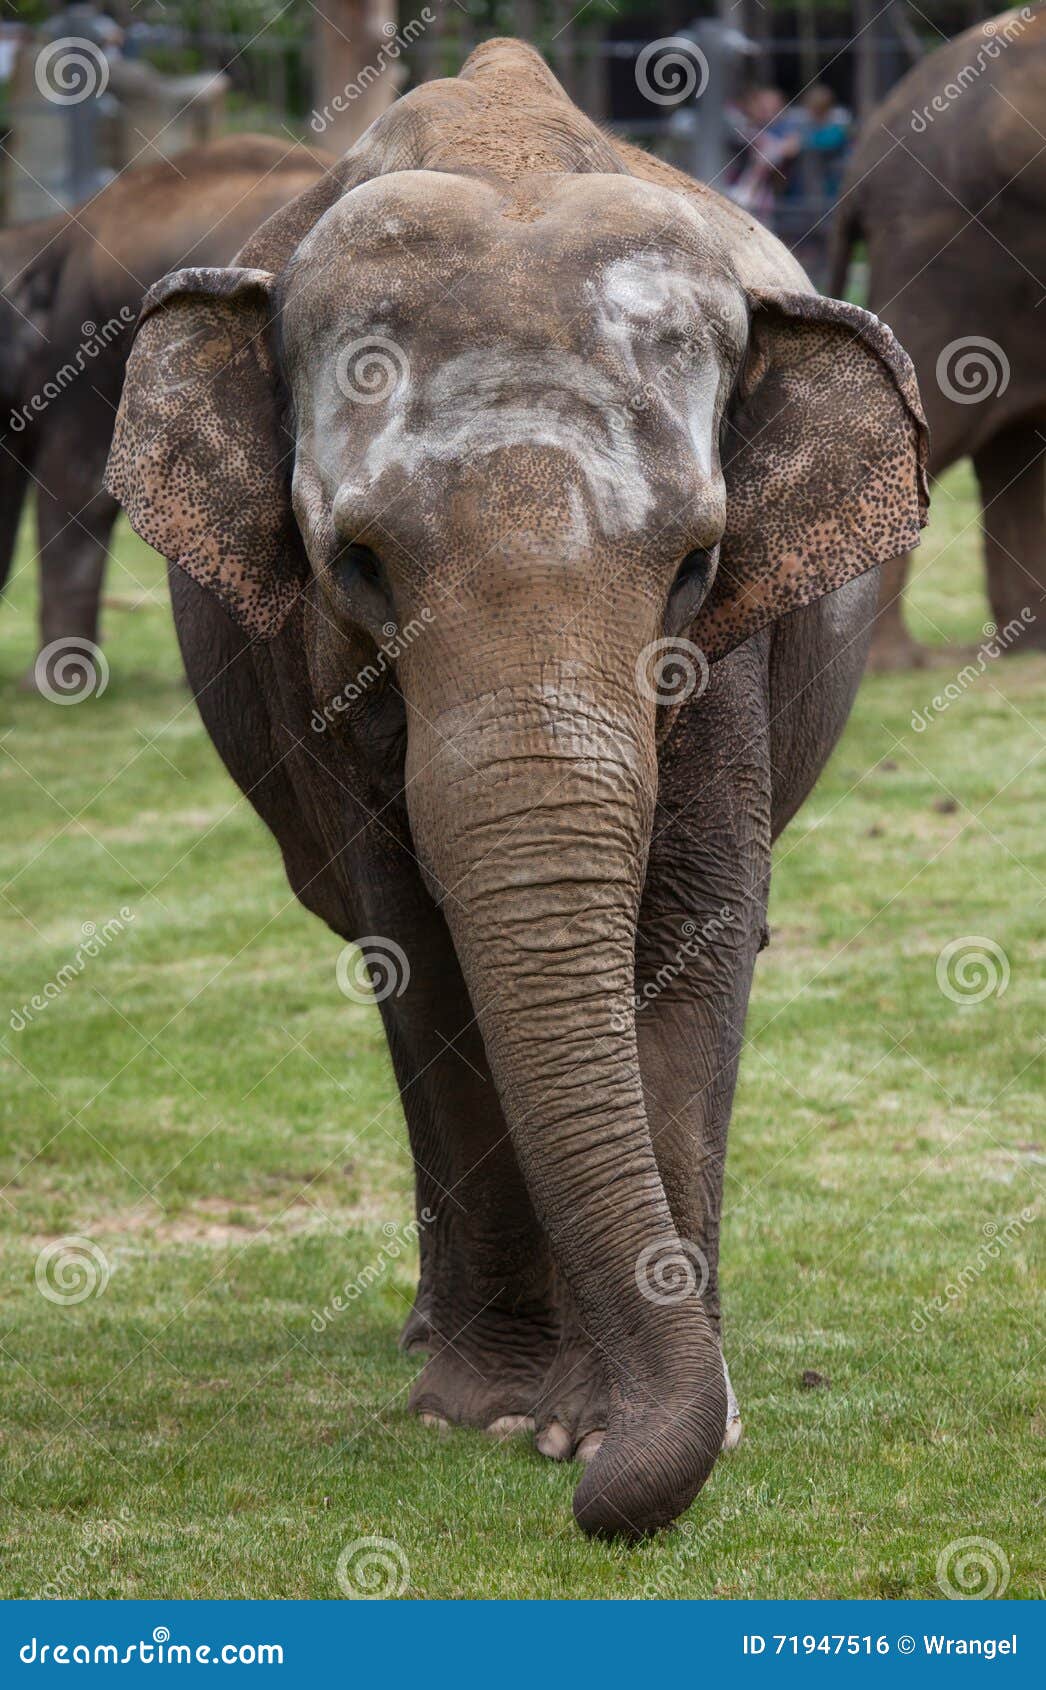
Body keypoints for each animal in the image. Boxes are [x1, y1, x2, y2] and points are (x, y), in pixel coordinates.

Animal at [105, 39, 927, 1539]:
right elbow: (419, 949)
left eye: (693, 563)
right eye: (358, 564)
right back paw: (439, 1340)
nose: (596, 1502)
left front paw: (633, 1421)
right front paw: (491, 1415)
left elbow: (698, 926)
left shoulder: (726, 656)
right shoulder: (326, 679)